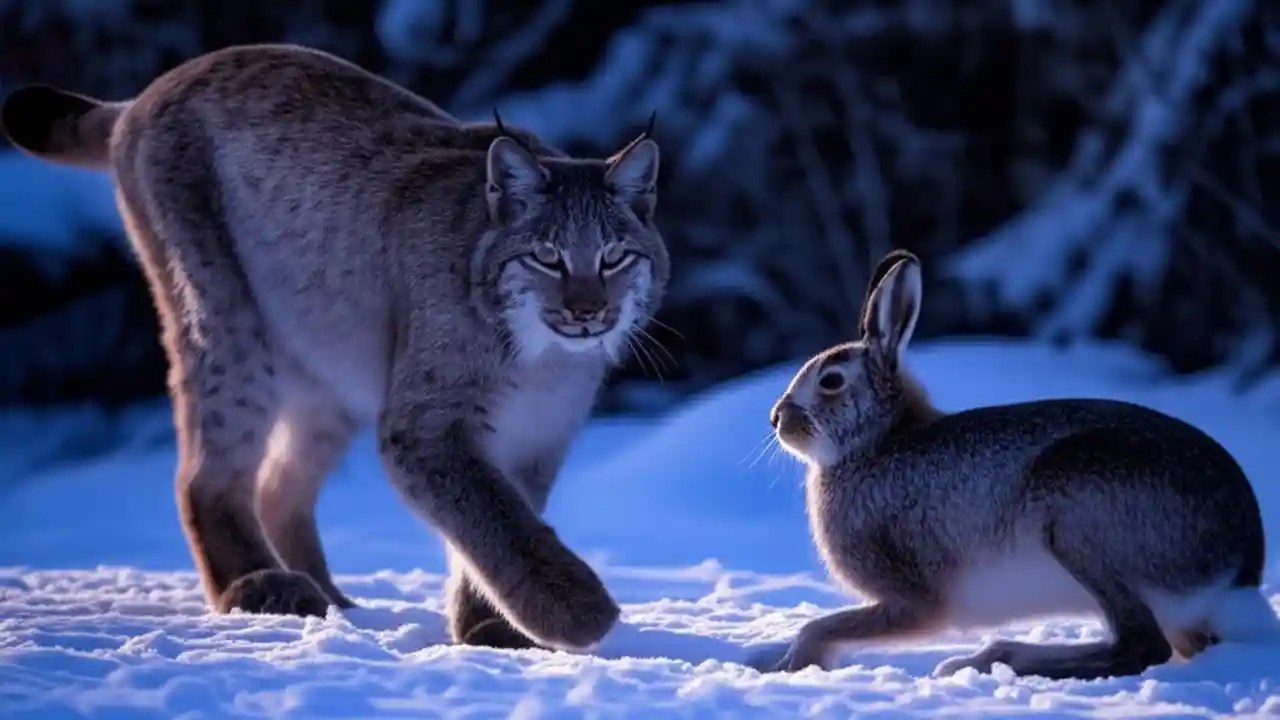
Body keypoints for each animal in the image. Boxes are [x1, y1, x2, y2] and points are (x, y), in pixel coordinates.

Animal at [756, 249, 1276, 680]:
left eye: (830, 381)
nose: (777, 418)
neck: (875, 443)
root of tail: (1239, 568)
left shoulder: (913, 599)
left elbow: (821, 626)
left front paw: (790, 665)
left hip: (1078, 524)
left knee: (1141, 646)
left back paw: (989, 659)